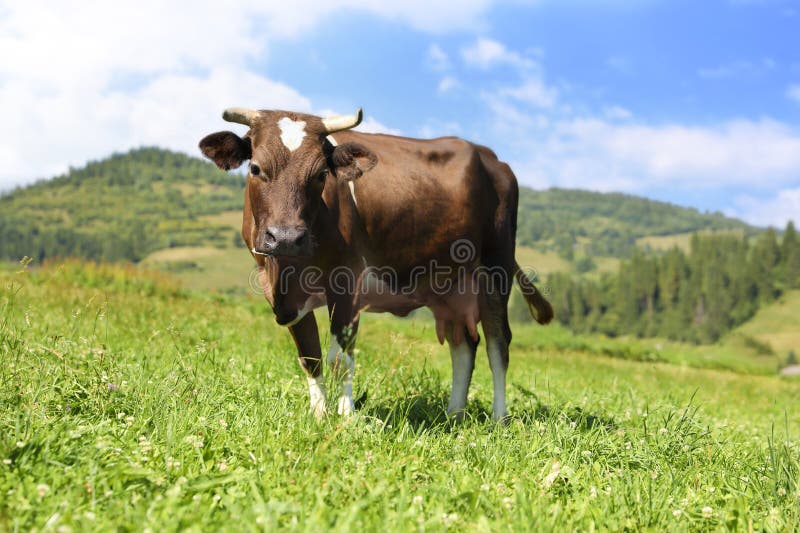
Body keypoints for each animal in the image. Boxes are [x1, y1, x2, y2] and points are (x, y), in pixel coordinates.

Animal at [198, 107, 552, 421]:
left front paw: (346, 416)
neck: (286, 269)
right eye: (256, 168)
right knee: (464, 344)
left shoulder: (347, 281)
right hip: (450, 286)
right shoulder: (283, 294)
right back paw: (454, 415)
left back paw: (499, 418)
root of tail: (491, 156)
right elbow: (310, 356)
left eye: (321, 174)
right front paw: (318, 415)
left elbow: (341, 358)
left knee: (498, 343)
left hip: (495, 266)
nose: (286, 237)